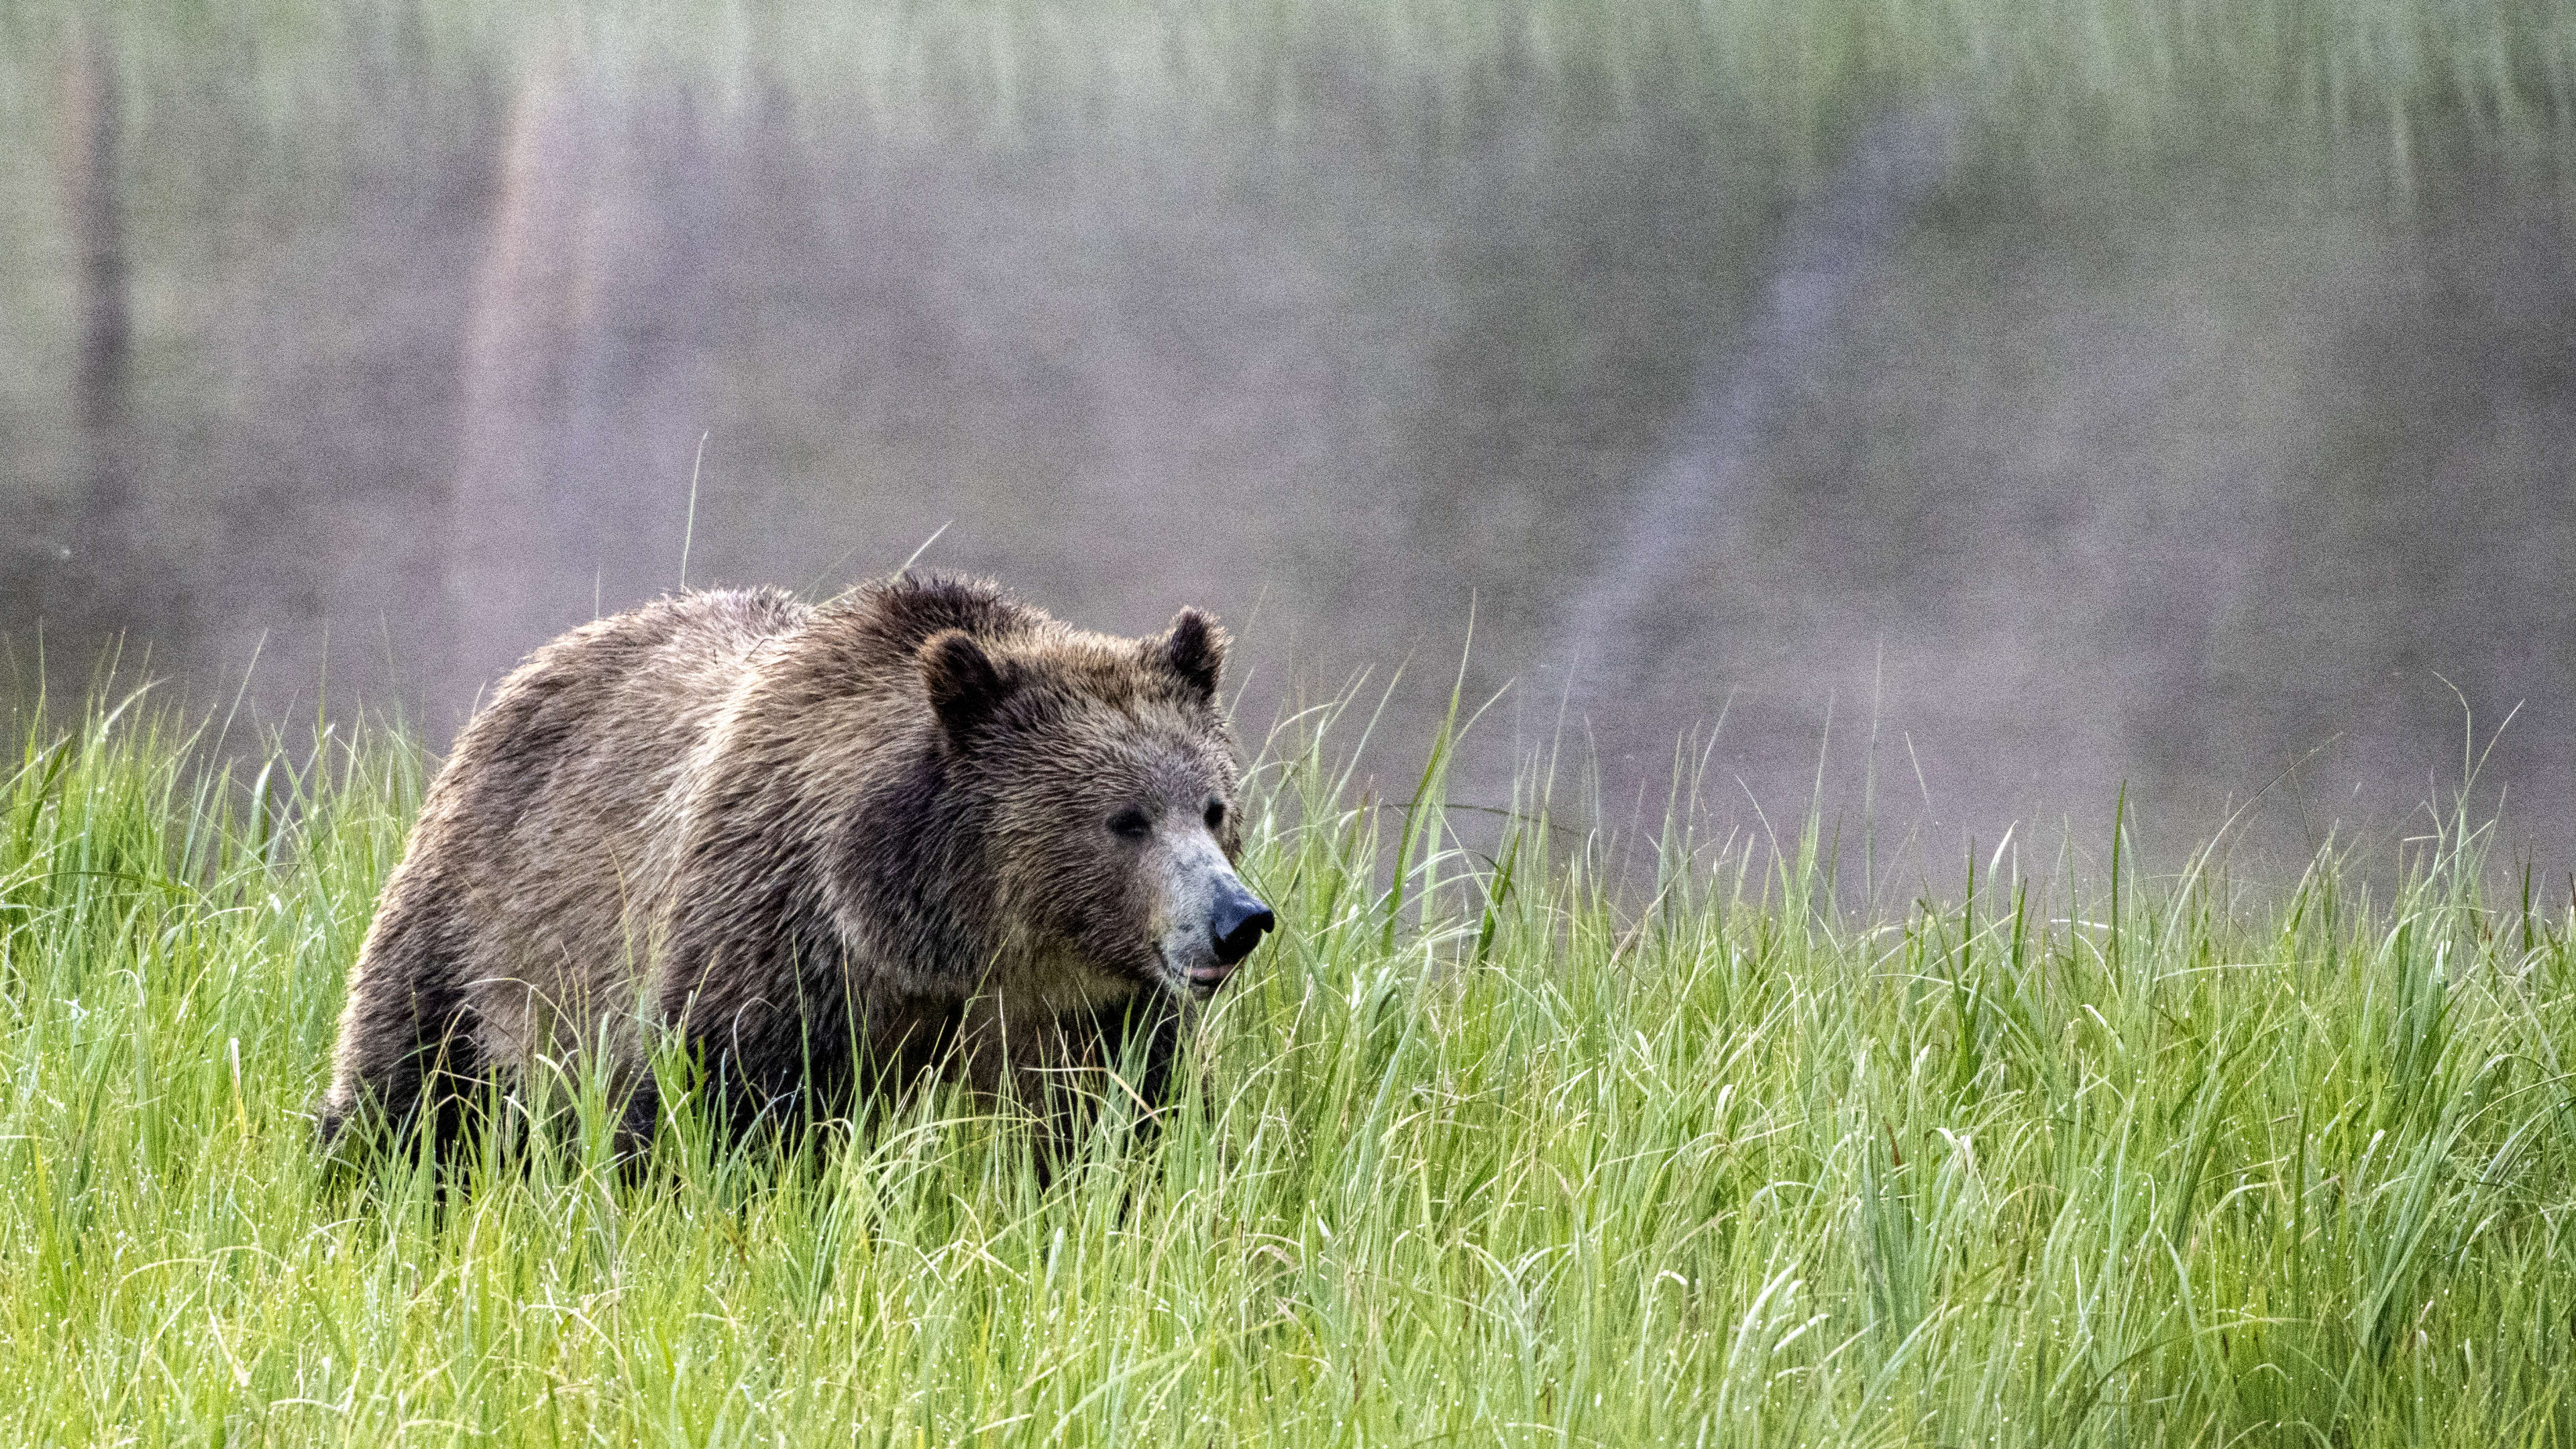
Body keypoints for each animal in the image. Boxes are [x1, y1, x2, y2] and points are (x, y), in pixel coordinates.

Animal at [316, 573, 1275, 1162]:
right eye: (1125, 820)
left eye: (1213, 808)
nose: (1238, 920)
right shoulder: (774, 944)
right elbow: (714, 1115)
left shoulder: (1089, 1019)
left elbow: (1116, 1135)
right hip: (487, 929)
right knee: (411, 1093)